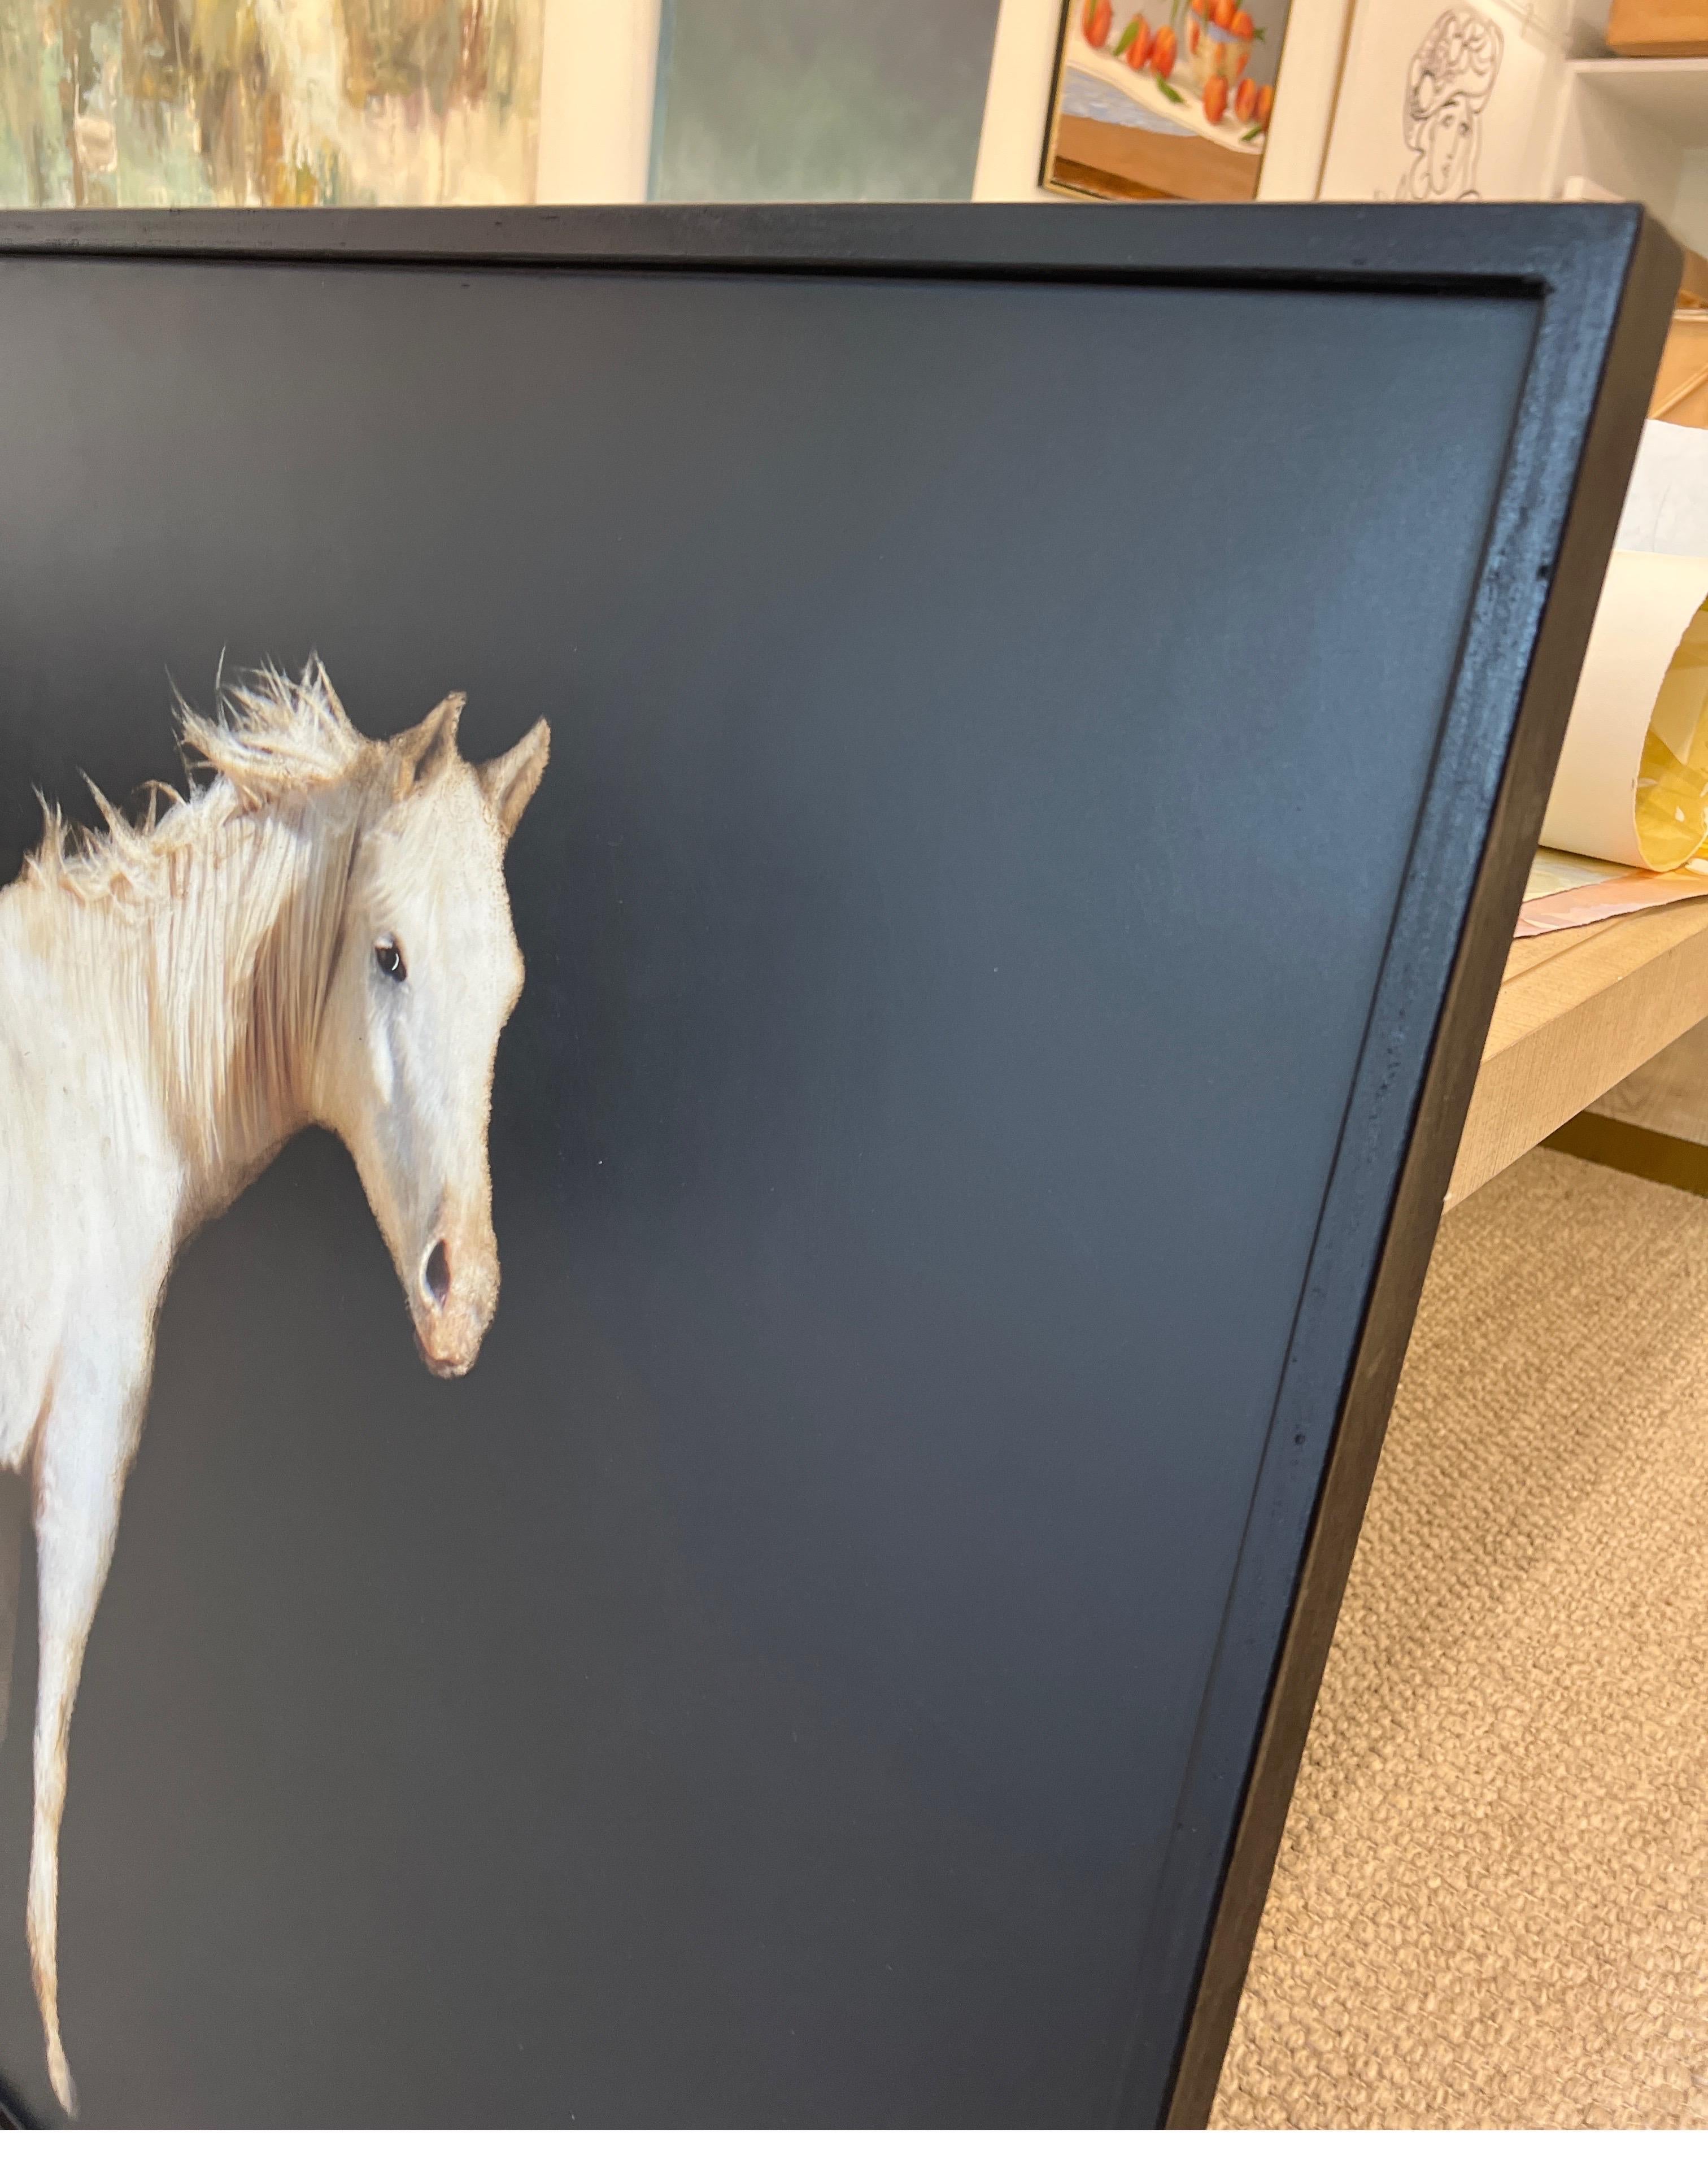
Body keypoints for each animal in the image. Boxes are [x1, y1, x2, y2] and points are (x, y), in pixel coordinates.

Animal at [0, 661, 548, 2114]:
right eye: (389, 952)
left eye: (512, 987)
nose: (462, 1297)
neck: (96, 1053)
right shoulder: (82, 1439)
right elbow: (49, 1772)